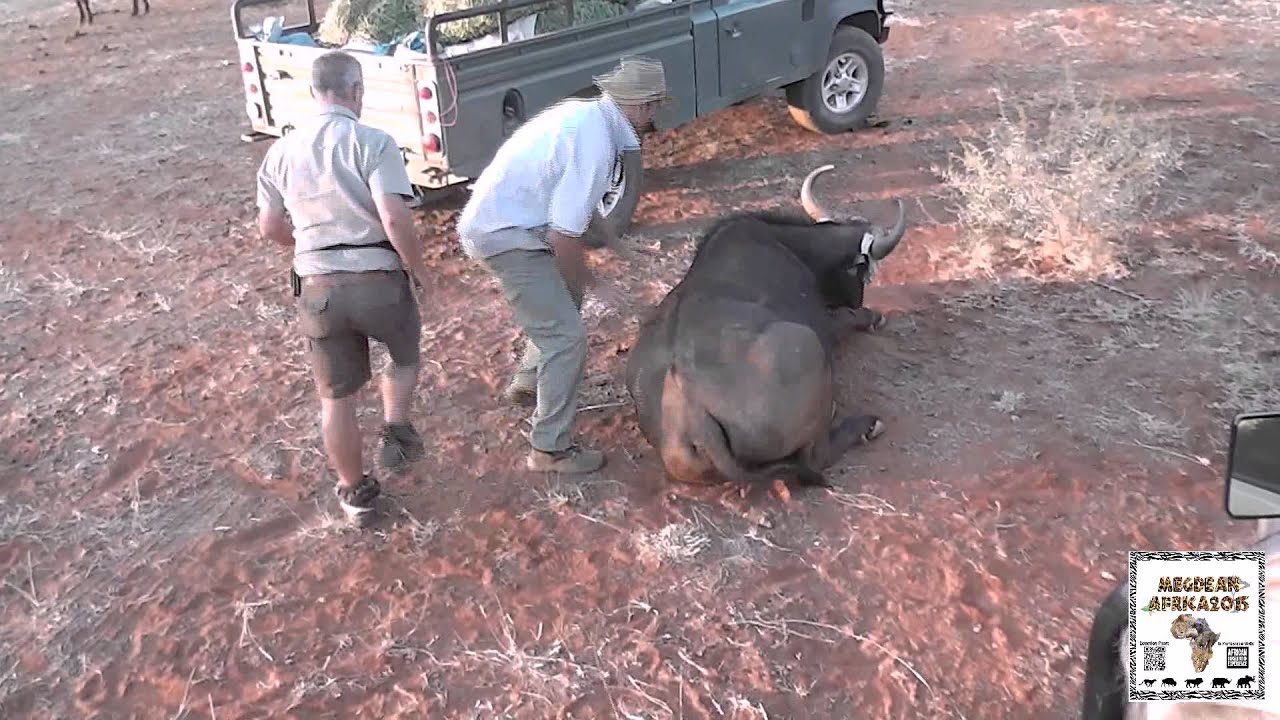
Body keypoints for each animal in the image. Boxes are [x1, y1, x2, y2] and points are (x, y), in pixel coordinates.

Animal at [624, 164, 907, 490]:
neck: (788, 244)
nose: (858, 297)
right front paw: (871, 315)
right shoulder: (826, 324)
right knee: (815, 457)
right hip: (807, 344)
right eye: (863, 271)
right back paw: (866, 425)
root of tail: (694, 411)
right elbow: (848, 317)